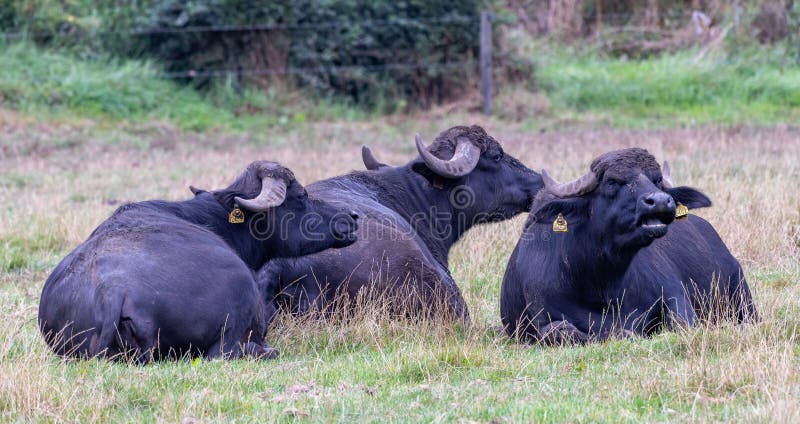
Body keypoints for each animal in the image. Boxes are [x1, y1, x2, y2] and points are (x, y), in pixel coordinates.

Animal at [500, 148, 757, 344]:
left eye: (657, 180)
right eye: (612, 182)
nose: (661, 201)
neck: (601, 284)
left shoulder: (674, 293)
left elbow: (681, 322)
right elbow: (564, 331)